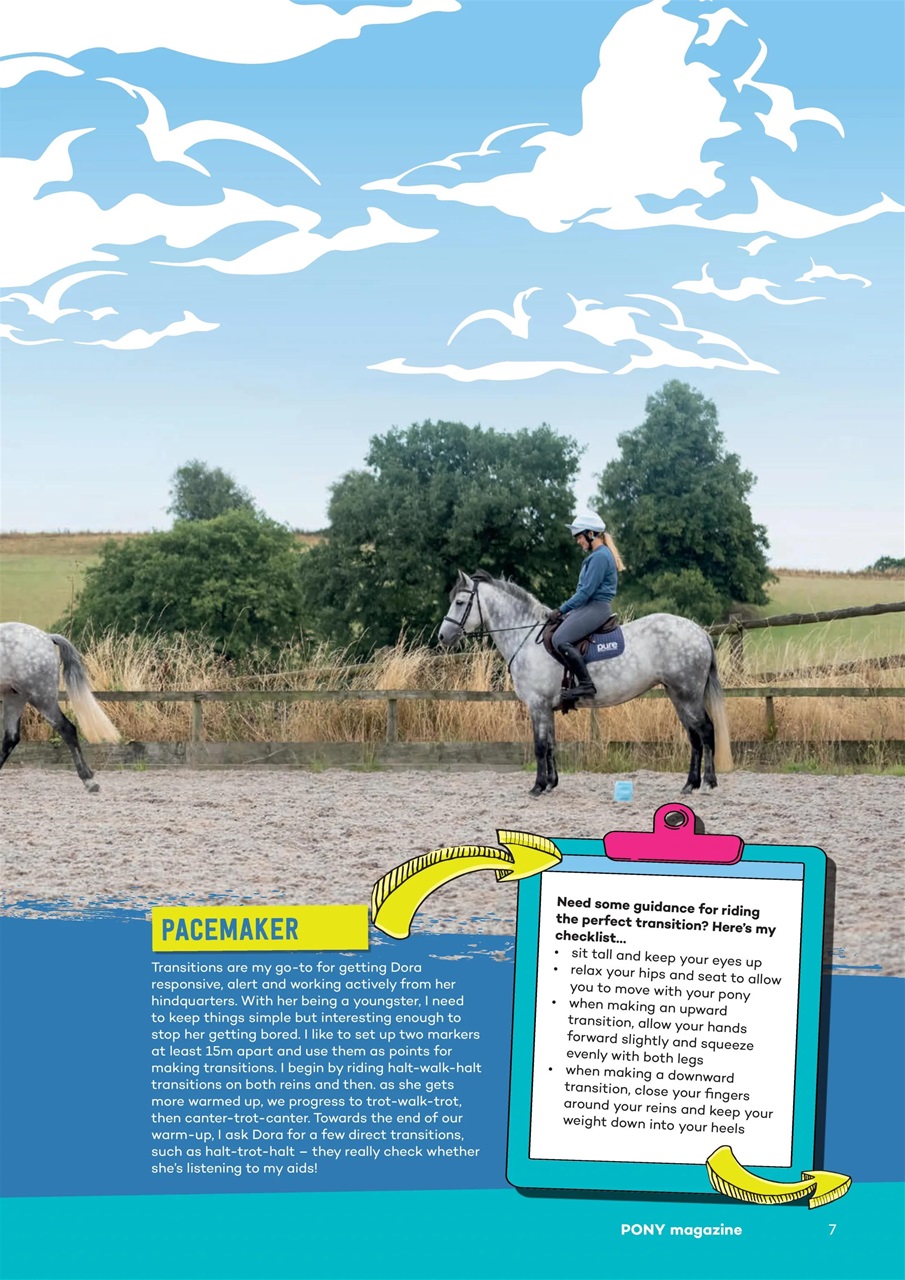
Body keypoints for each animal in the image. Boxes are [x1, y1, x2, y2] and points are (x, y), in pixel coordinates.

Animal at [0, 623, 121, 792]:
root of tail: (47, 637)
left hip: (41, 697)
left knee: (67, 729)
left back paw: (88, 780)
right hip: (15, 696)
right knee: (11, 737)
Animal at [438, 570, 732, 797]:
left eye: (461, 602)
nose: (443, 636)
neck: (526, 638)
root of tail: (699, 631)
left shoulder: (537, 705)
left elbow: (540, 746)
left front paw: (538, 786)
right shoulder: (547, 708)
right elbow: (551, 744)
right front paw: (551, 784)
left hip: (687, 694)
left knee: (706, 730)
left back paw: (708, 783)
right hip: (677, 694)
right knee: (694, 736)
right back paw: (690, 784)